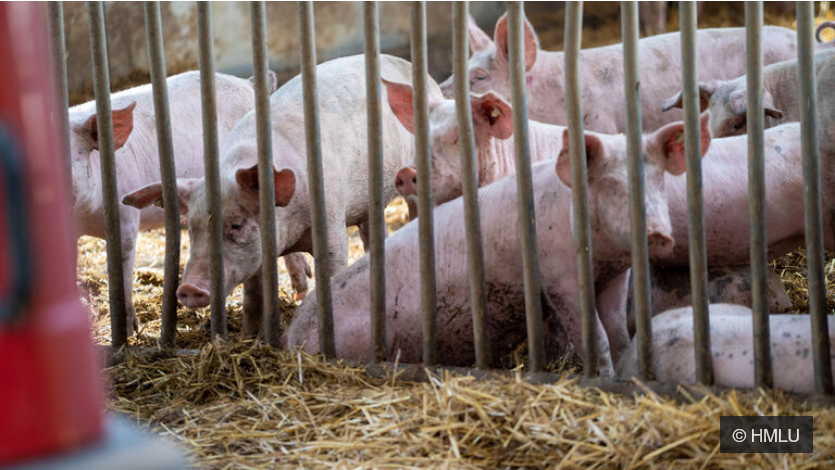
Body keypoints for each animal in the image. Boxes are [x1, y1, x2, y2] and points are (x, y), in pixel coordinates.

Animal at [123, 55, 436, 336]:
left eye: (235, 225)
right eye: (192, 228)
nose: (188, 288)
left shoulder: (331, 219)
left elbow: (332, 272)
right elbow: (253, 300)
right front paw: (250, 337)